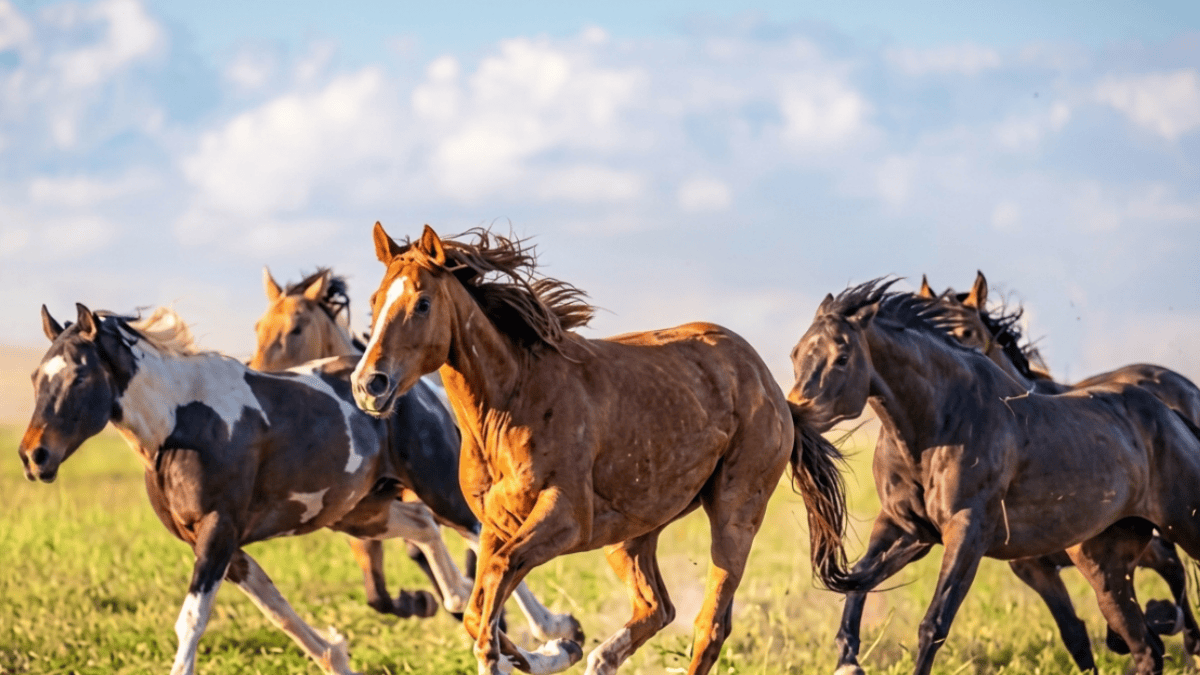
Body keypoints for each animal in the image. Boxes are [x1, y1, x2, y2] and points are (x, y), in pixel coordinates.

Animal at [18, 304, 473, 675]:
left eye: (79, 376)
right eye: (36, 377)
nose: (33, 456)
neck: (181, 425)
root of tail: (423, 389)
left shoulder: (218, 532)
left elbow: (192, 620)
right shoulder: (220, 543)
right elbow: (278, 612)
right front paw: (337, 655)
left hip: (442, 492)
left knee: (480, 539)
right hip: (359, 513)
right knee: (423, 527)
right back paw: (455, 600)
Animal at [251, 266, 581, 643]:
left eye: (296, 327)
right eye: (259, 327)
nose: (258, 371)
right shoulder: (360, 512)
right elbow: (378, 592)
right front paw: (419, 601)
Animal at [348, 223, 850, 675]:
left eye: (422, 303)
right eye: (374, 301)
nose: (369, 384)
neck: (513, 403)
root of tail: (772, 388)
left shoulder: (566, 519)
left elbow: (496, 585)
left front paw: (535, 650)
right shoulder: (494, 524)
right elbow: (478, 608)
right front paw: (555, 648)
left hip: (735, 514)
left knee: (708, 626)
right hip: (631, 534)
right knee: (656, 608)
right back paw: (595, 658)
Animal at [788, 278, 1200, 675]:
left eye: (842, 357)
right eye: (795, 353)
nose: (795, 411)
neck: (941, 422)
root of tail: (1173, 413)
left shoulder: (968, 530)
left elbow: (933, 625)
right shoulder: (905, 527)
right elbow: (857, 582)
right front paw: (848, 661)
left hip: (1181, 526)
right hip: (1105, 565)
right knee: (1146, 648)